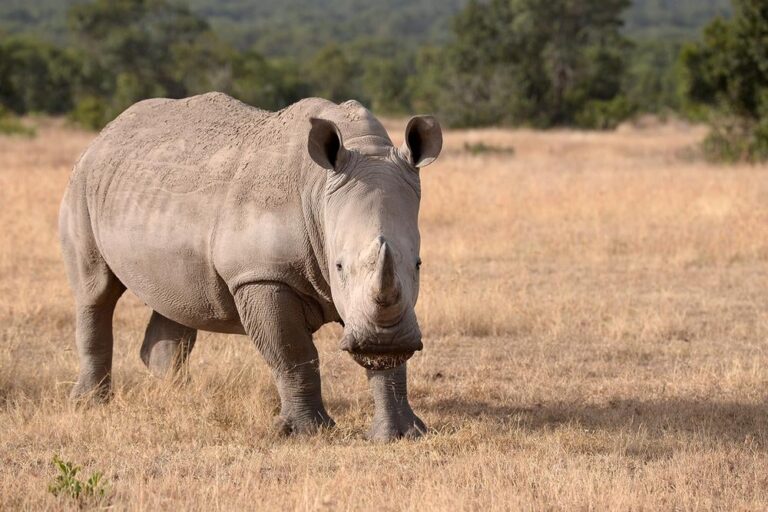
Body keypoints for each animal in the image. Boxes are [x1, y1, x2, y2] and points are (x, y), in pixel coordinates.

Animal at [59, 92, 442, 441]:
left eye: (419, 264)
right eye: (338, 267)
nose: (382, 342)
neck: (319, 190)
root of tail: (105, 133)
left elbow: (390, 368)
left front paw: (401, 434)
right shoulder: (261, 275)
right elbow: (293, 353)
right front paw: (307, 433)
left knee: (175, 301)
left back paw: (178, 396)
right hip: (81, 185)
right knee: (96, 292)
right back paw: (89, 403)